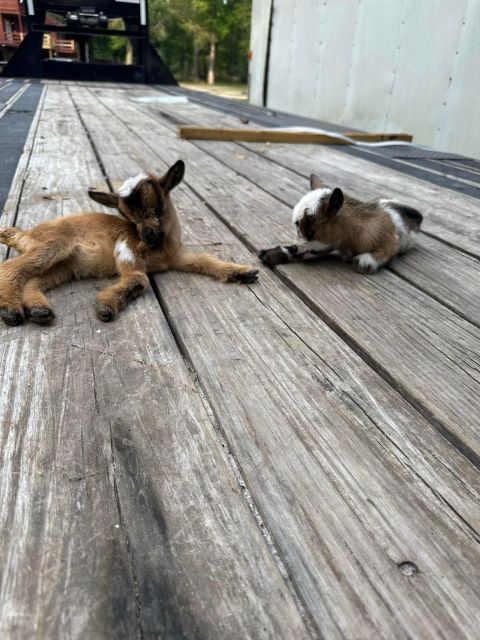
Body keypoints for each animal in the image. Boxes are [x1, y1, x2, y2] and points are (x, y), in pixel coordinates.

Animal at [0, 160, 258, 326]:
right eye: (127, 216)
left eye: (159, 206)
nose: (148, 235)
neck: (160, 251)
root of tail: (24, 233)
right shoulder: (127, 246)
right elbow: (139, 278)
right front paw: (106, 305)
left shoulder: (177, 257)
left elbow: (204, 259)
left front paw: (242, 272)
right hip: (55, 244)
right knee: (9, 269)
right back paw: (10, 310)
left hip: (63, 267)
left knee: (32, 280)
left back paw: (38, 310)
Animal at [259, 173, 422, 273]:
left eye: (310, 231)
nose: (294, 247)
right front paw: (274, 253)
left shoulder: (391, 243)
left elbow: (386, 252)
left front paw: (365, 261)